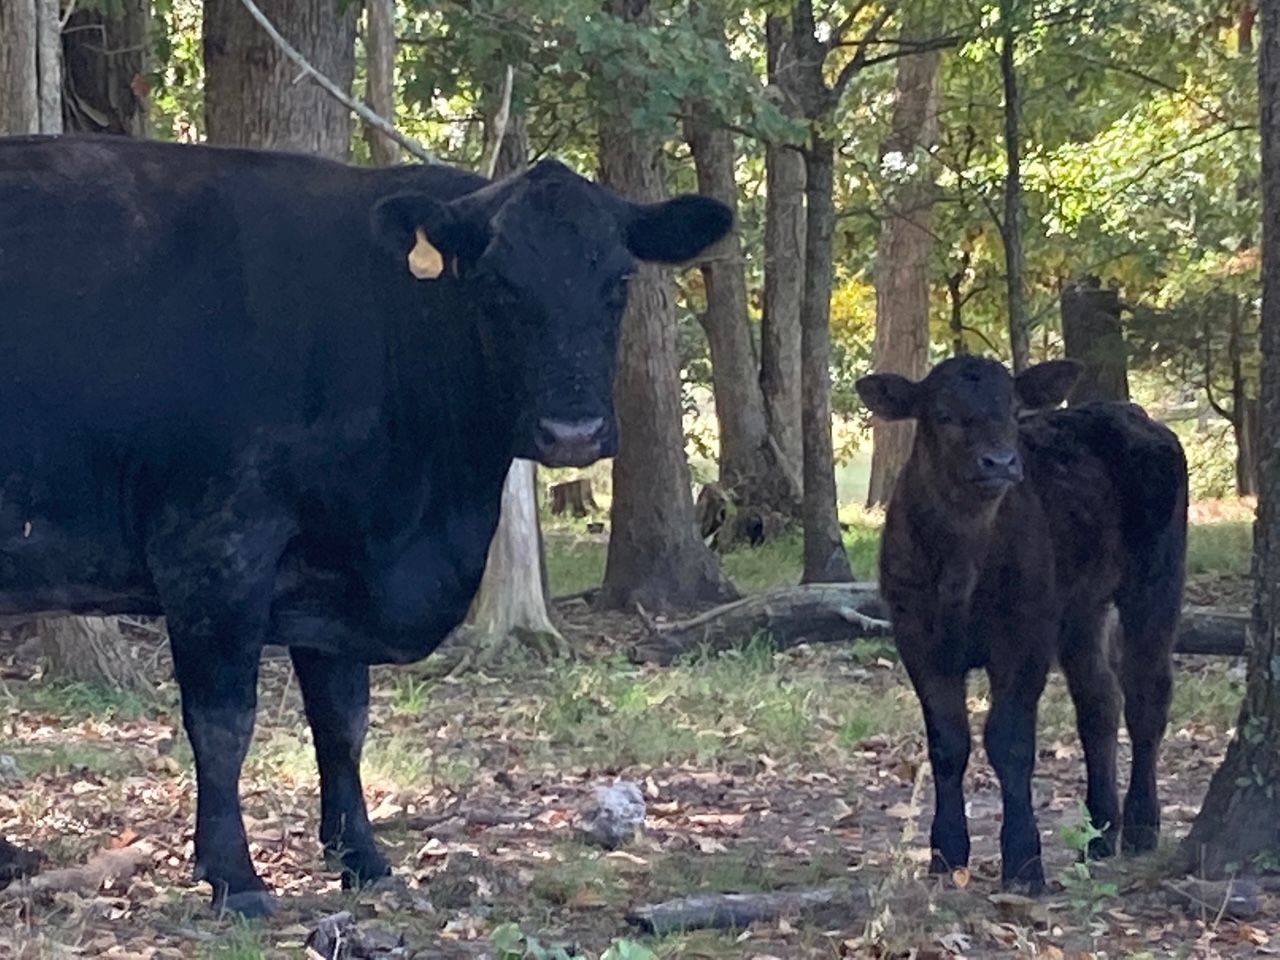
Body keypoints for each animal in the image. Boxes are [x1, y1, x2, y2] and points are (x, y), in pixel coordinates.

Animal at [0, 134, 733, 916]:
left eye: (618, 281)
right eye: (497, 285)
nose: (573, 432)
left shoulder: (339, 564)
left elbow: (343, 721)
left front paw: (362, 857)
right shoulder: (214, 547)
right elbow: (224, 724)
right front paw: (235, 878)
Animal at [855, 355, 1187, 895]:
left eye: (1013, 409)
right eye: (942, 414)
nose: (1001, 462)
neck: (960, 568)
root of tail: (1132, 412)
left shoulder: (1025, 632)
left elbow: (1008, 741)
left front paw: (1024, 862)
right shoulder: (916, 636)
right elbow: (947, 743)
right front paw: (945, 854)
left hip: (1157, 579)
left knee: (1146, 696)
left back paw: (1140, 826)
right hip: (1081, 607)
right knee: (1099, 700)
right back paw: (1099, 834)